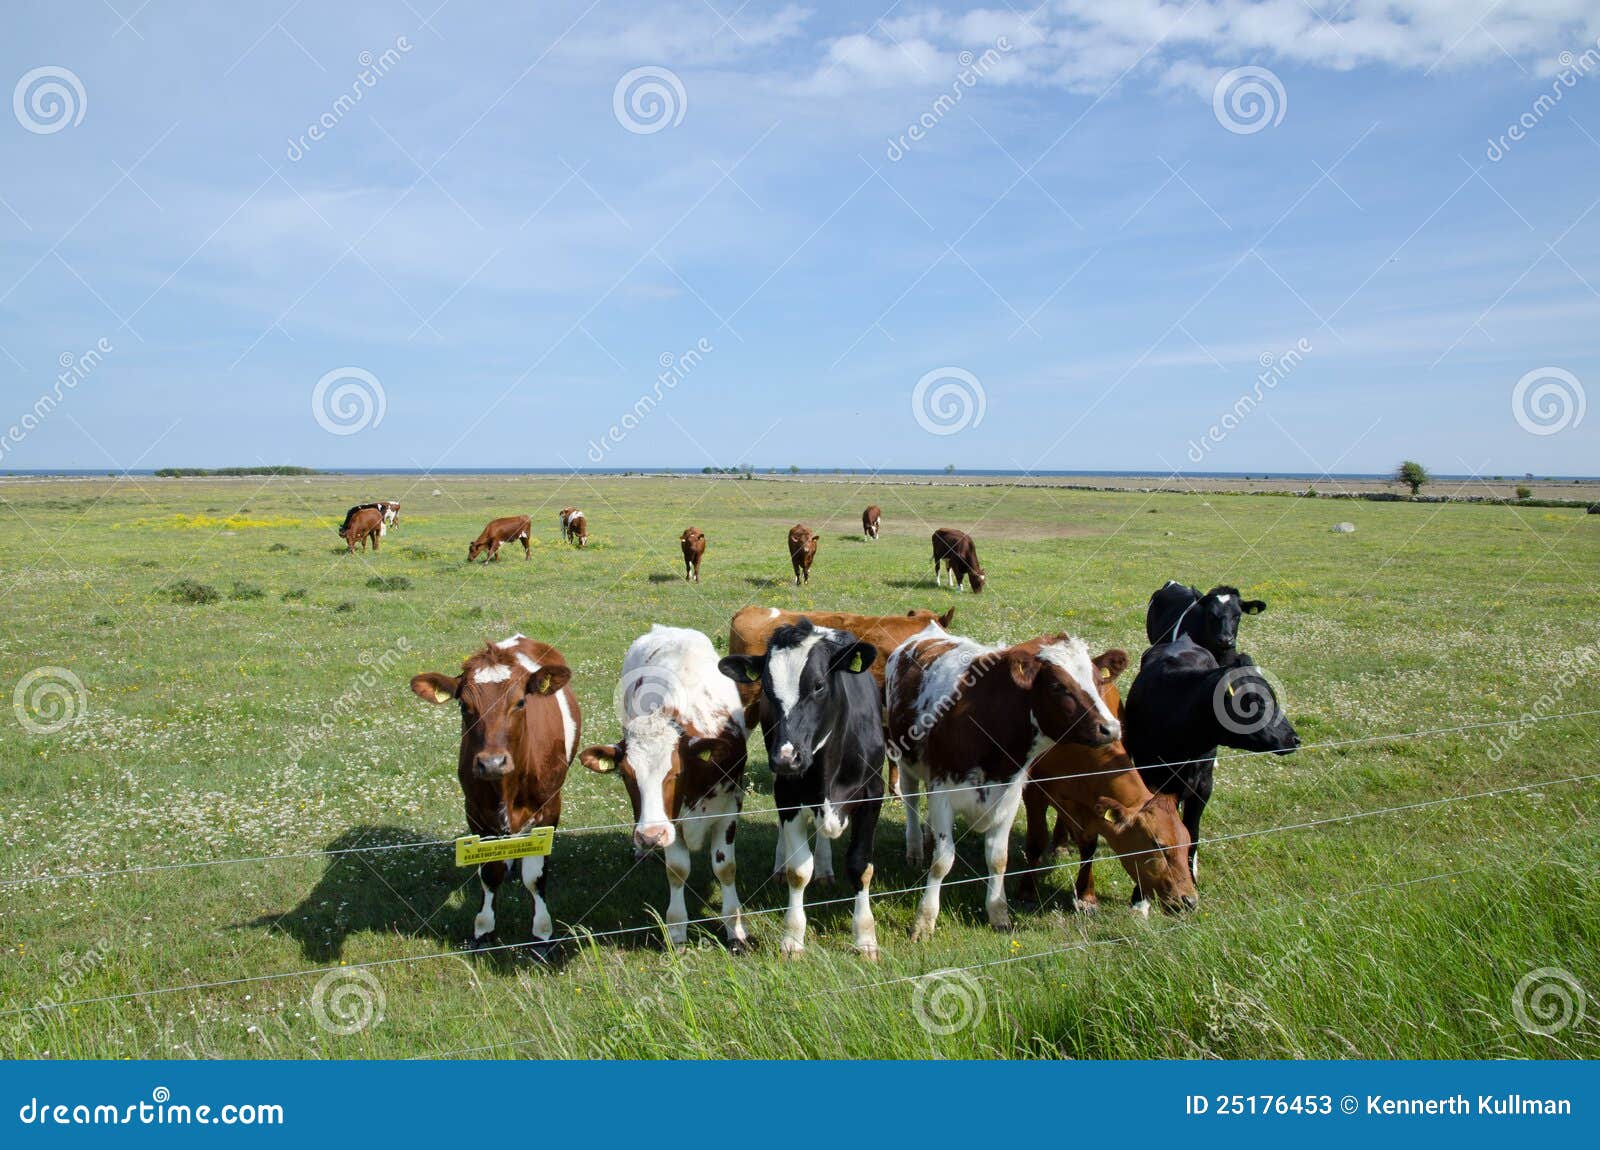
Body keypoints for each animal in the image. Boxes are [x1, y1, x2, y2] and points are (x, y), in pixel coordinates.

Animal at [409, 634, 580, 952]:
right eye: (464, 706)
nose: (491, 762)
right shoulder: (475, 812)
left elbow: (535, 876)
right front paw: (484, 930)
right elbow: (490, 873)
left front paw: (541, 934)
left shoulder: (549, 808)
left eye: (521, 702)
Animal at [578, 626, 750, 950]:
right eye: (626, 775)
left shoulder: (729, 806)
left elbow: (726, 868)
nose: (650, 836)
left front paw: (735, 930)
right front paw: (677, 932)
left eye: (676, 773)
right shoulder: (672, 823)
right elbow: (678, 870)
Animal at [718, 620, 886, 958]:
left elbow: (860, 864)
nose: (786, 757)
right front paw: (792, 938)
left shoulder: (873, 794)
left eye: (819, 686)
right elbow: (799, 870)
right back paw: (781, 865)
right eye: (768, 690)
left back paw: (824, 868)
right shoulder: (788, 794)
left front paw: (865, 938)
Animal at [885, 623, 1121, 939]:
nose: (1111, 728)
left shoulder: (1008, 797)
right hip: (907, 758)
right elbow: (942, 861)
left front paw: (999, 914)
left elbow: (999, 859)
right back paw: (914, 849)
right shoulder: (943, 791)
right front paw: (924, 921)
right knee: (911, 800)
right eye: (1058, 686)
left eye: (1098, 681)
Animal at [1017, 654, 1197, 916]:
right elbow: (1035, 841)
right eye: (1159, 845)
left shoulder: (1093, 807)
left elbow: (1089, 847)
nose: (1189, 900)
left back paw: (1061, 843)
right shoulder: (1034, 792)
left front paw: (1086, 895)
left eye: (1187, 844)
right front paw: (1027, 892)